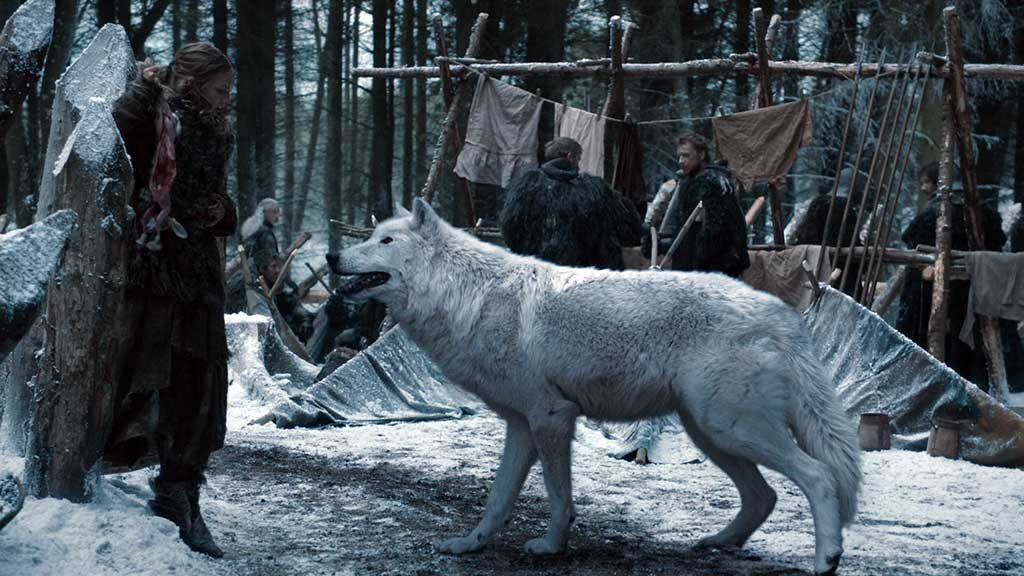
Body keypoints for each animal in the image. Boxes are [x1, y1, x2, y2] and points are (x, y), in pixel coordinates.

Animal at [329, 198, 861, 575]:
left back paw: (826, 559)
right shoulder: (520, 424)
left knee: (818, 476)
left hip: (729, 428)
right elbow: (498, 499)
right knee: (763, 497)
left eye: (386, 240)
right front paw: (470, 545)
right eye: (371, 237)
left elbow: (557, 495)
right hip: (711, 433)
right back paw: (717, 544)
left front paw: (550, 547)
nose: (333, 255)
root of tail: (783, 314)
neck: (468, 295)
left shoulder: (551, 417)